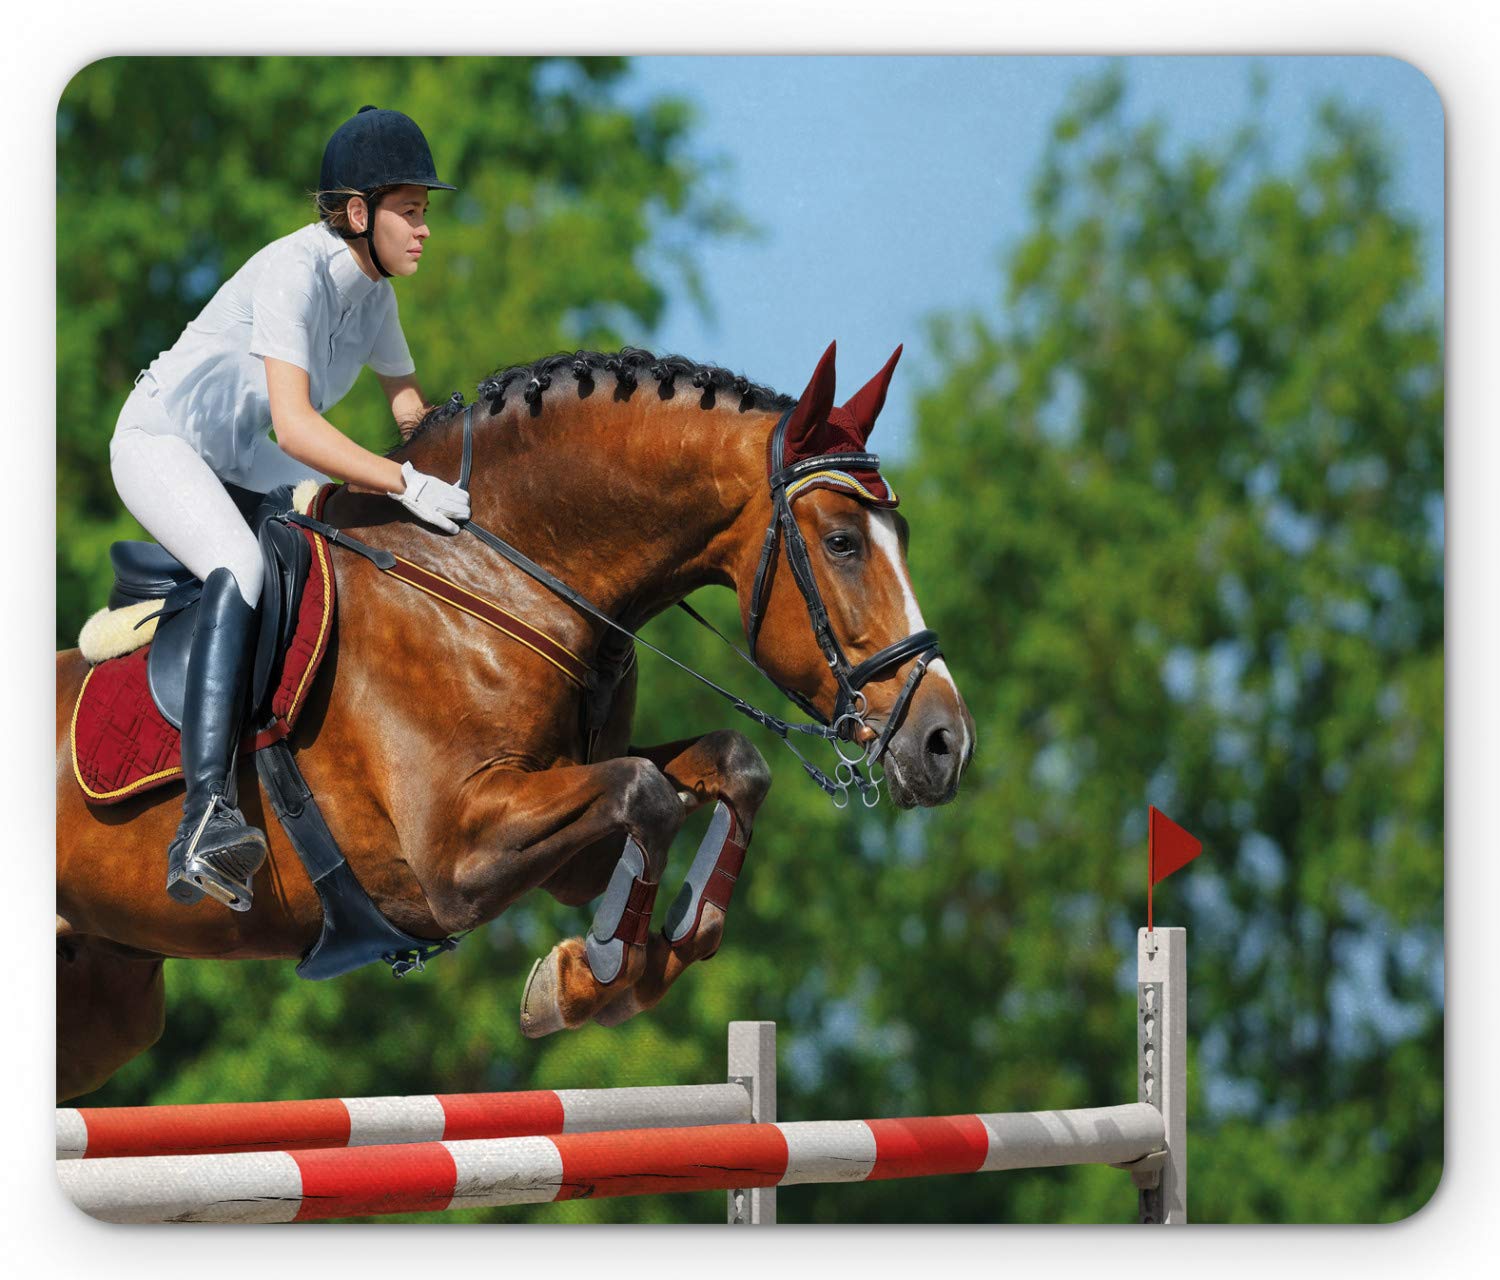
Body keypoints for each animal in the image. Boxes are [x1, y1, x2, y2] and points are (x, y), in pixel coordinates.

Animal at [55, 341, 975, 1102]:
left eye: (898, 531)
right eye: (843, 541)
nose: (946, 744)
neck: (490, 576)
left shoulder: (558, 833)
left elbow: (724, 768)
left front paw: (648, 951)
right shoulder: (454, 860)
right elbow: (646, 794)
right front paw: (587, 978)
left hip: (104, 1003)